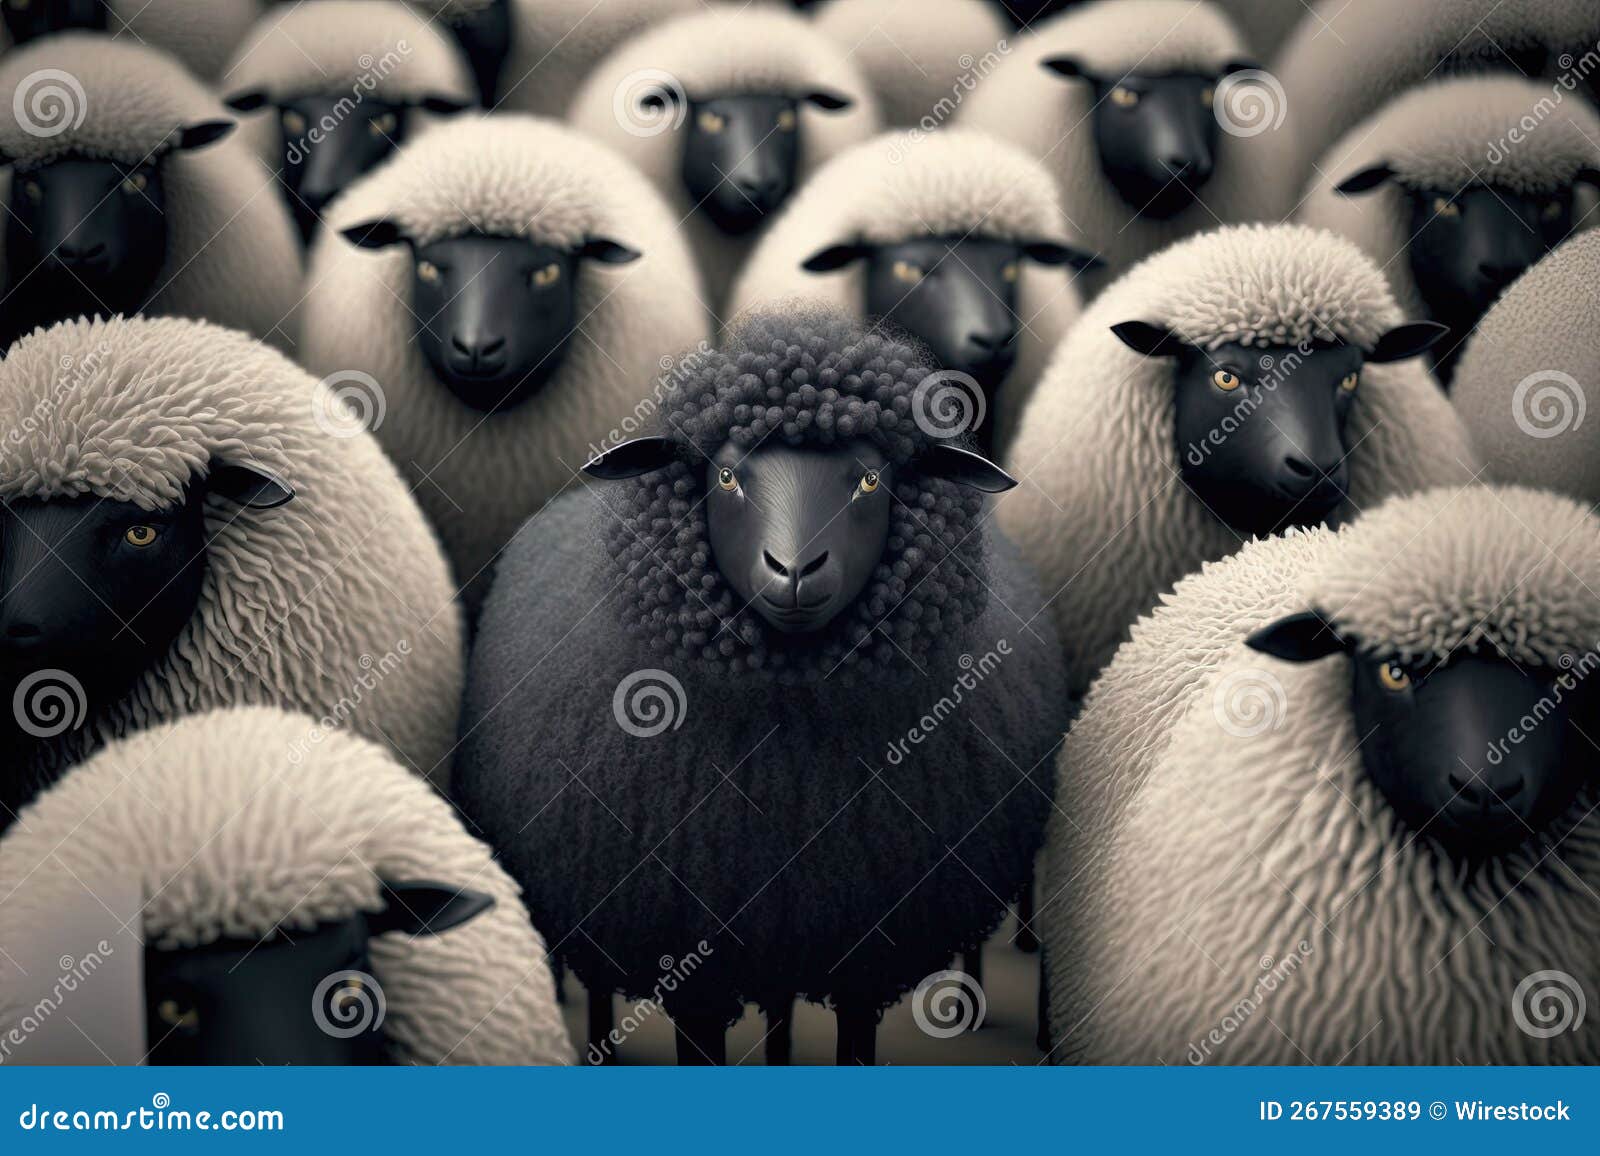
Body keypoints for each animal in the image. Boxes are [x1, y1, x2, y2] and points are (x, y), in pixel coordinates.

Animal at [456, 309, 1068, 1065]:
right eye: (725, 475)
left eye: (870, 480)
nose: (795, 569)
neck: (787, 744)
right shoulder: (692, 964)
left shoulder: (864, 956)